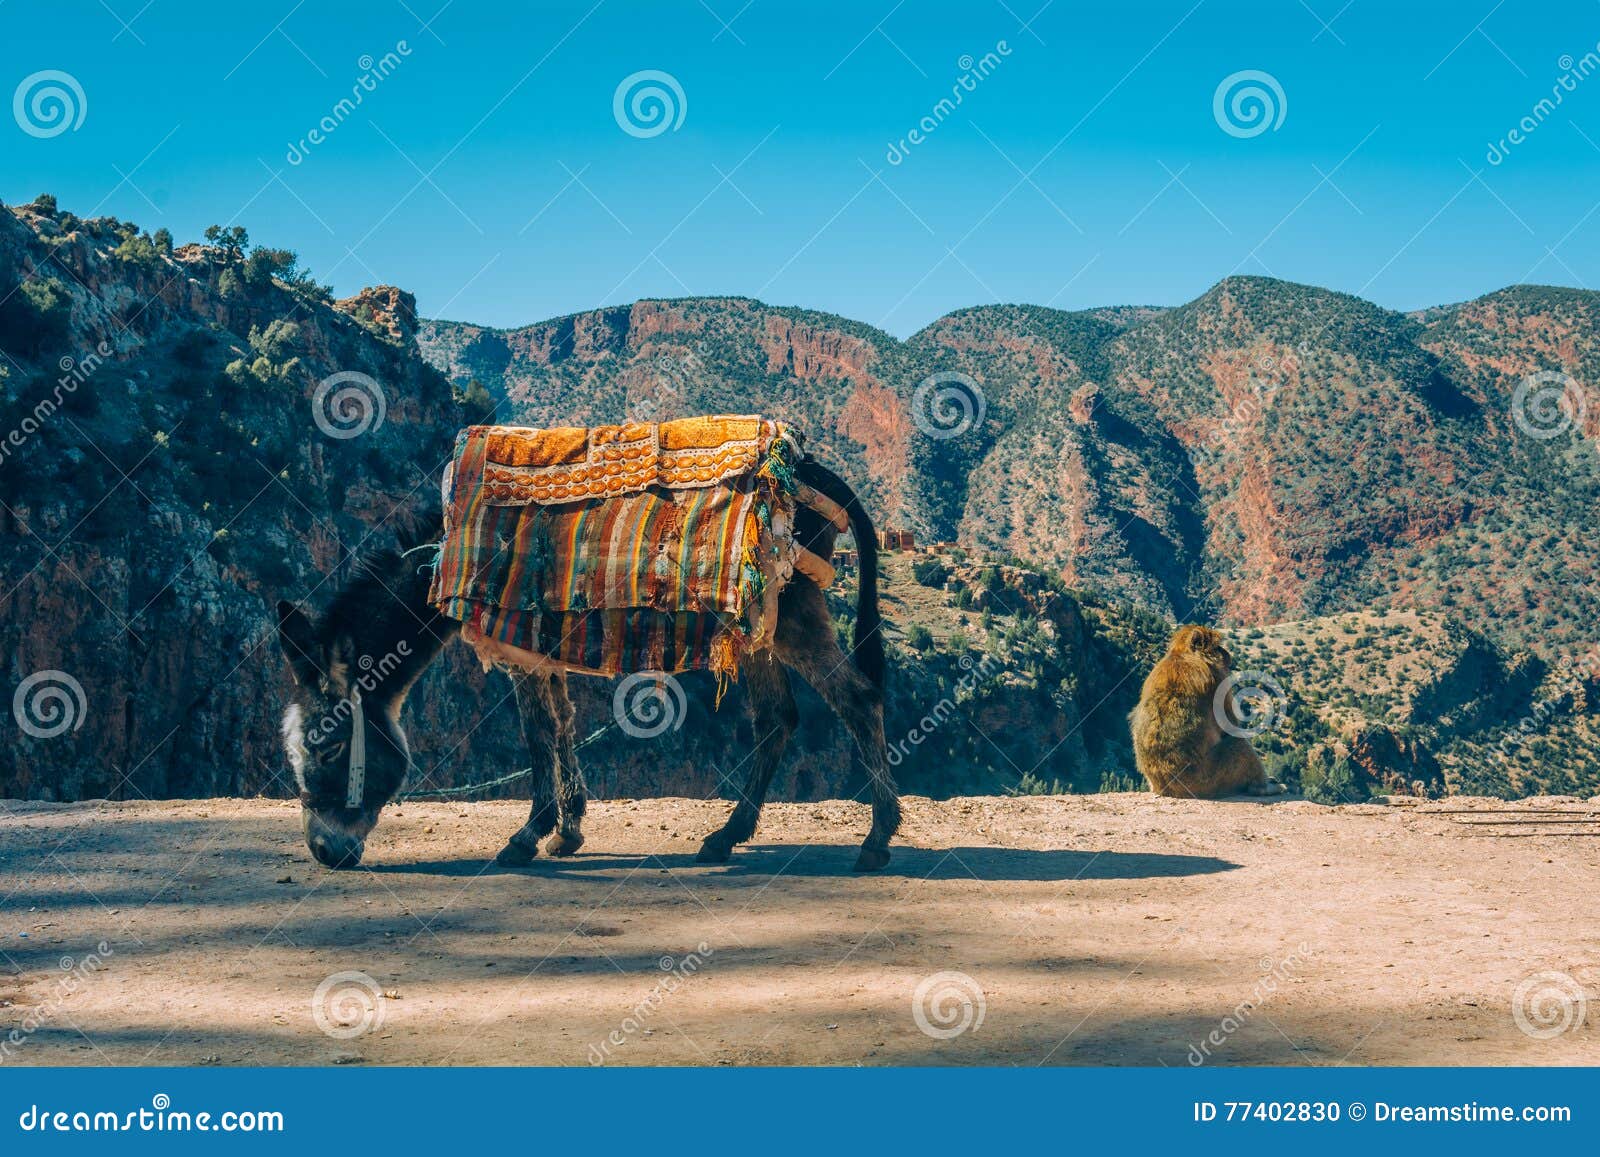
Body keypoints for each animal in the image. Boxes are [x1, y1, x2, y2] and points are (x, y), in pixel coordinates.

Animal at [1128, 624, 1286, 799]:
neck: (1182, 654)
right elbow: (1231, 727)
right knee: (1237, 743)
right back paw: (1262, 787)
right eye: (1217, 647)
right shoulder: (1218, 680)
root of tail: (1167, 789)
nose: (1228, 655)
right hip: (1209, 781)